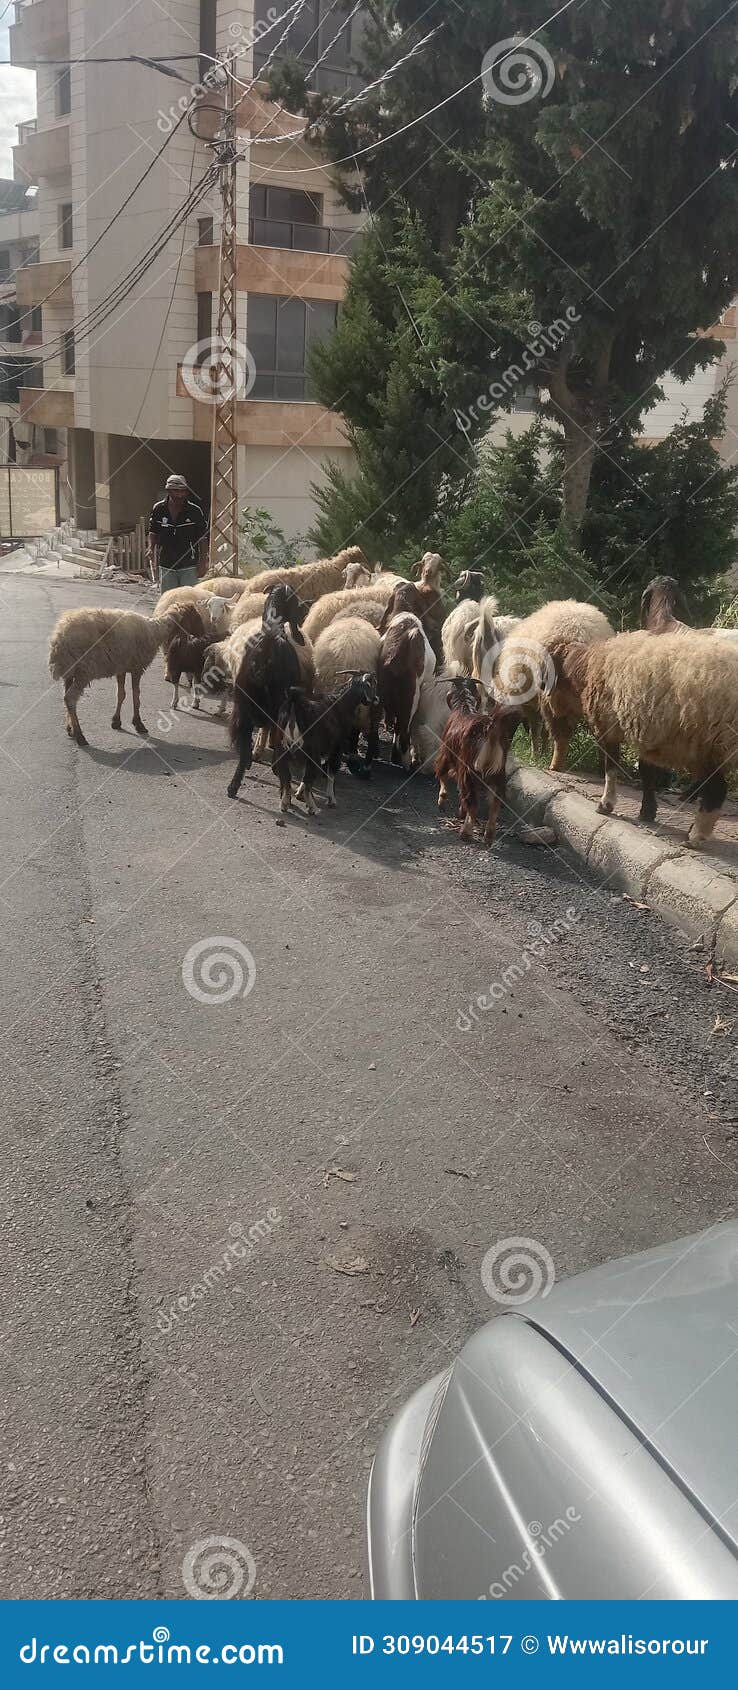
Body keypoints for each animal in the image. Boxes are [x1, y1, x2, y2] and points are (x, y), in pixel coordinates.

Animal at [49, 607, 177, 745]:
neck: (156, 629)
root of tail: (59, 637)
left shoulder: (121, 667)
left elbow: (121, 694)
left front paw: (116, 721)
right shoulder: (137, 667)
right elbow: (136, 696)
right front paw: (138, 723)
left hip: (70, 671)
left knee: (66, 697)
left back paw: (70, 729)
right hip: (84, 670)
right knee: (70, 698)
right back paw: (79, 735)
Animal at [491, 599, 614, 771]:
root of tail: (577, 634)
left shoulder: (533, 703)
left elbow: (536, 730)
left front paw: (537, 754)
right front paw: (542, 752)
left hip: (555, 699)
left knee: (560, 733)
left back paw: (555, 765)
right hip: (593, 698)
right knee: (598, 733)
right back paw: (602, 765)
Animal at [547, 629, 738, 846]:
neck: (588, 668)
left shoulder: (608, 725)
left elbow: (611, 766)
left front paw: (606, 804)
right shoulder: (650, 732)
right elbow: (646, 771)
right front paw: (647, 811)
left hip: (711, 740)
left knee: (717, 789)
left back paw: (696, 835)